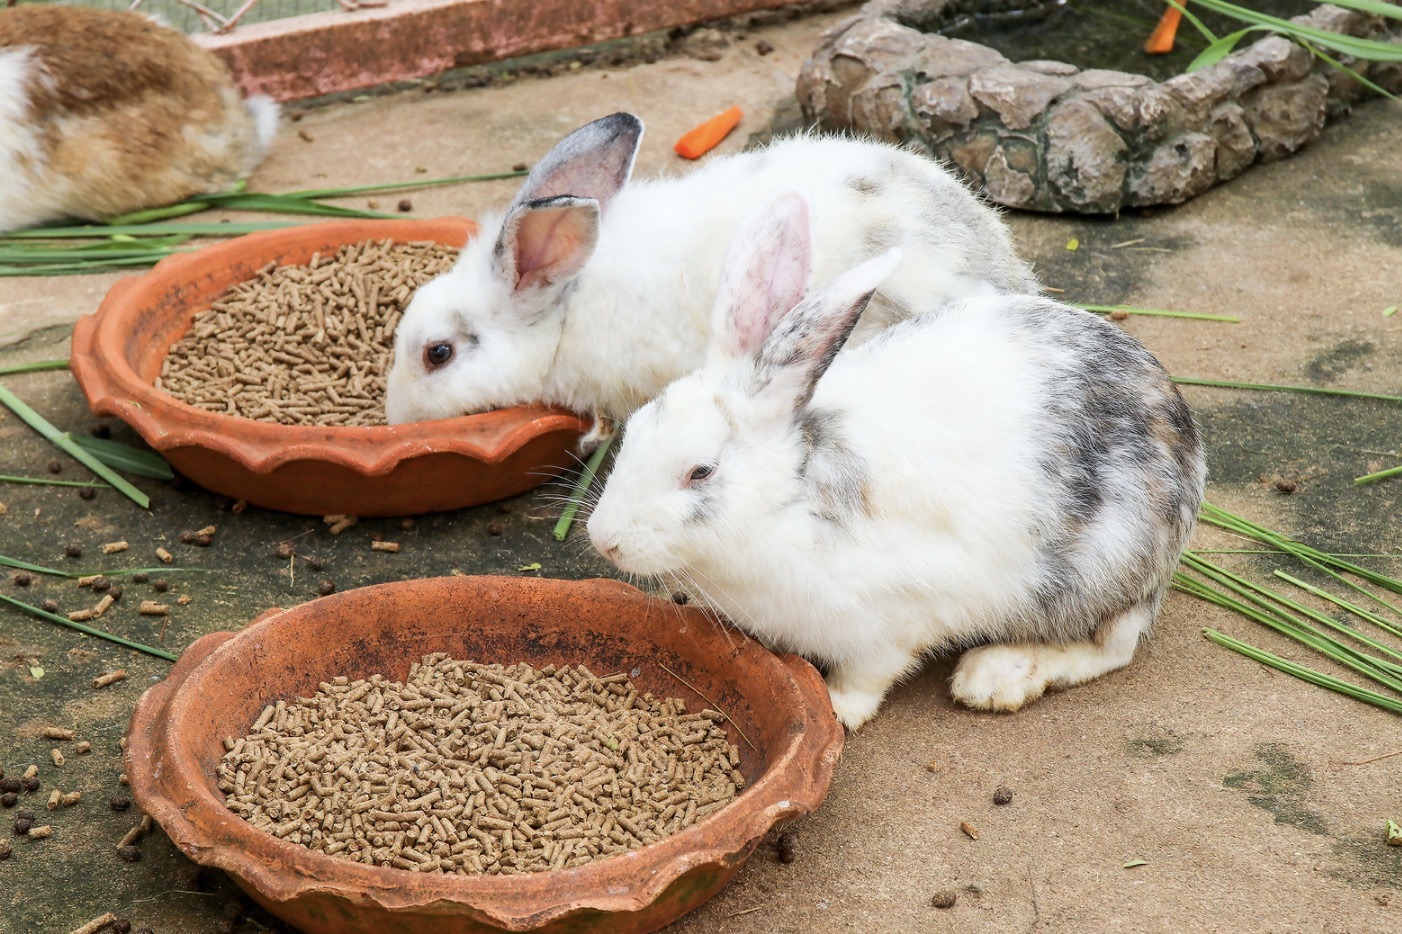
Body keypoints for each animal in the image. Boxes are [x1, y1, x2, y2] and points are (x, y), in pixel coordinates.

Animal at [586, 186, 1206, 731]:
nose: (603, 539)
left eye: (701, 471)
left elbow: (868, 677)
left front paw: (837, 711)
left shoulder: (888, 622)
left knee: (1113, 645)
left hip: (1099, 566)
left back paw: (994, 676)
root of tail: (1183, 438)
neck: (787, 503)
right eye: (634, 429)